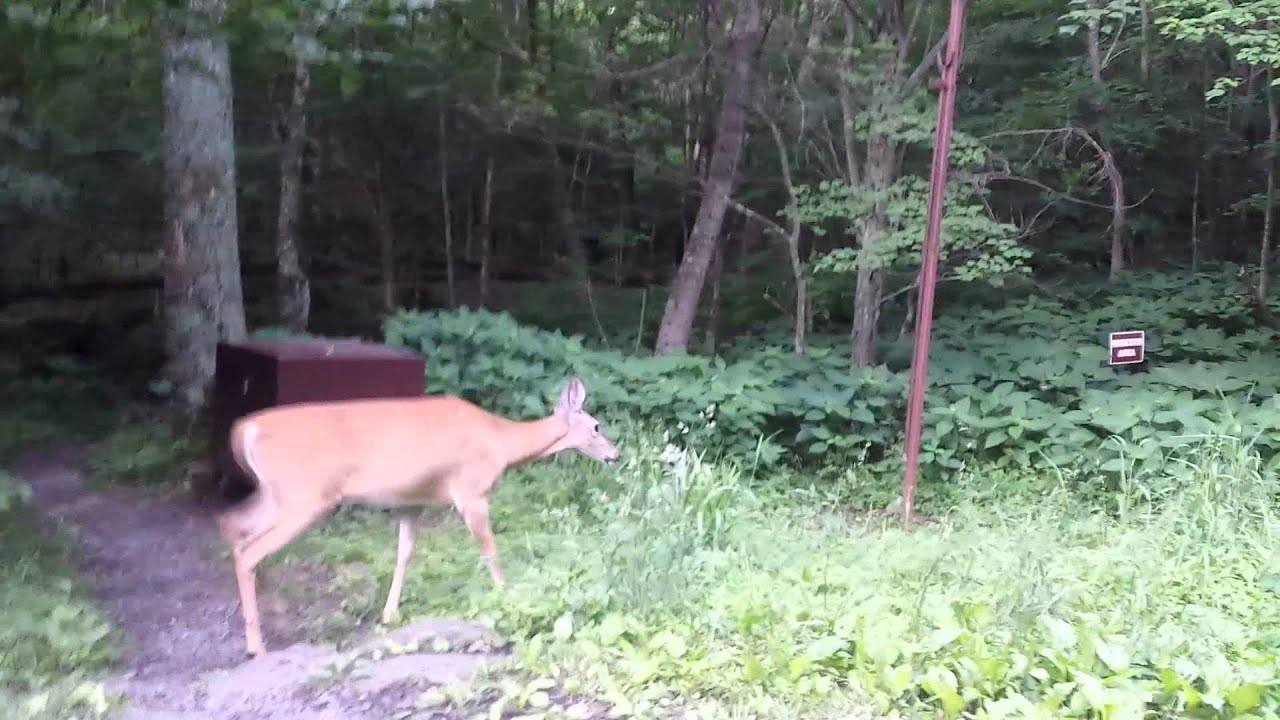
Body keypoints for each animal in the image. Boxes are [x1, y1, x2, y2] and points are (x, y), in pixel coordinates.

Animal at [214, 377, 620, 657]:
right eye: (596, 426)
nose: (615, 454)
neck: (502, 444)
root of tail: (246, 429)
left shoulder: (412, 501)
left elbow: (404, 553)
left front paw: (389, 614)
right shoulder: (471, 492)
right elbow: (489, 549)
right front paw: (508, 595)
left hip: (279, 496)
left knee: (232, 526)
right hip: (304, 497)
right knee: (247, 550)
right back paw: (256, 645)